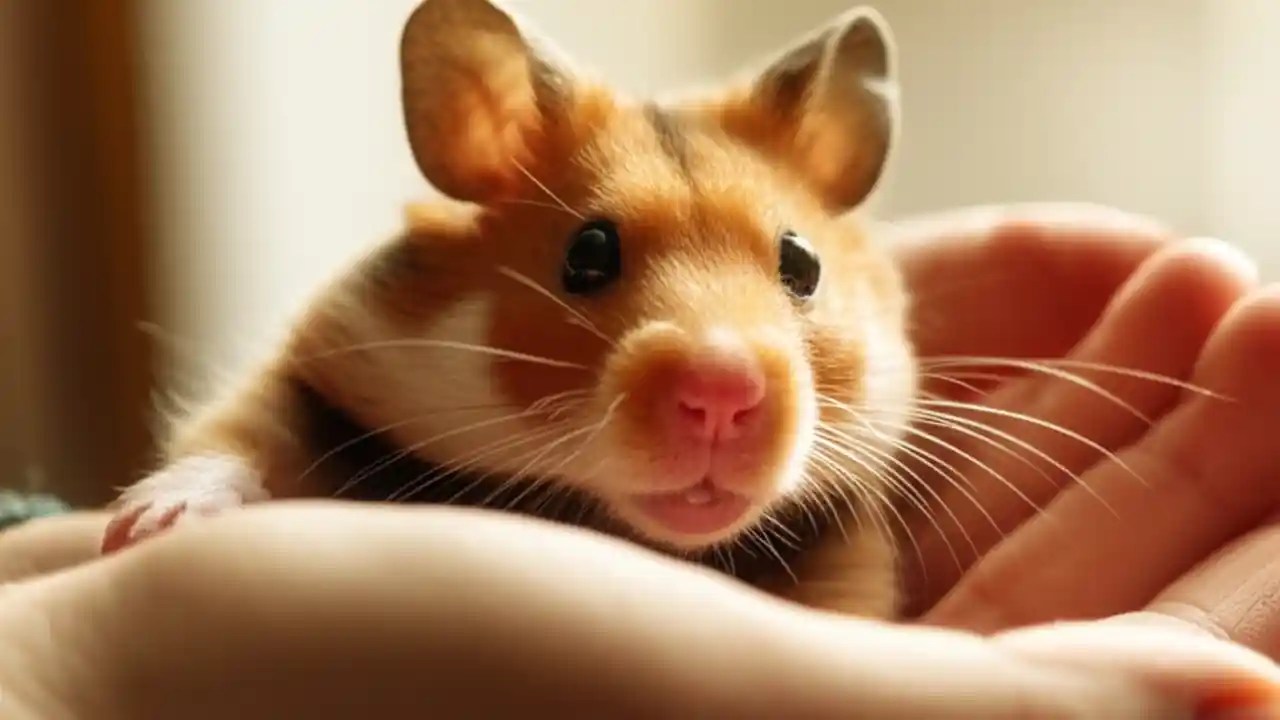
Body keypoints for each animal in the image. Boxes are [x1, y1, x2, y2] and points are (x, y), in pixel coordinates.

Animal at [103, 0, 916, 619]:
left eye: (802, 264)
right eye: (588, 253)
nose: (723, 392)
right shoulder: (316, 369)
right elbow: (235, 435)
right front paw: (141, 532)